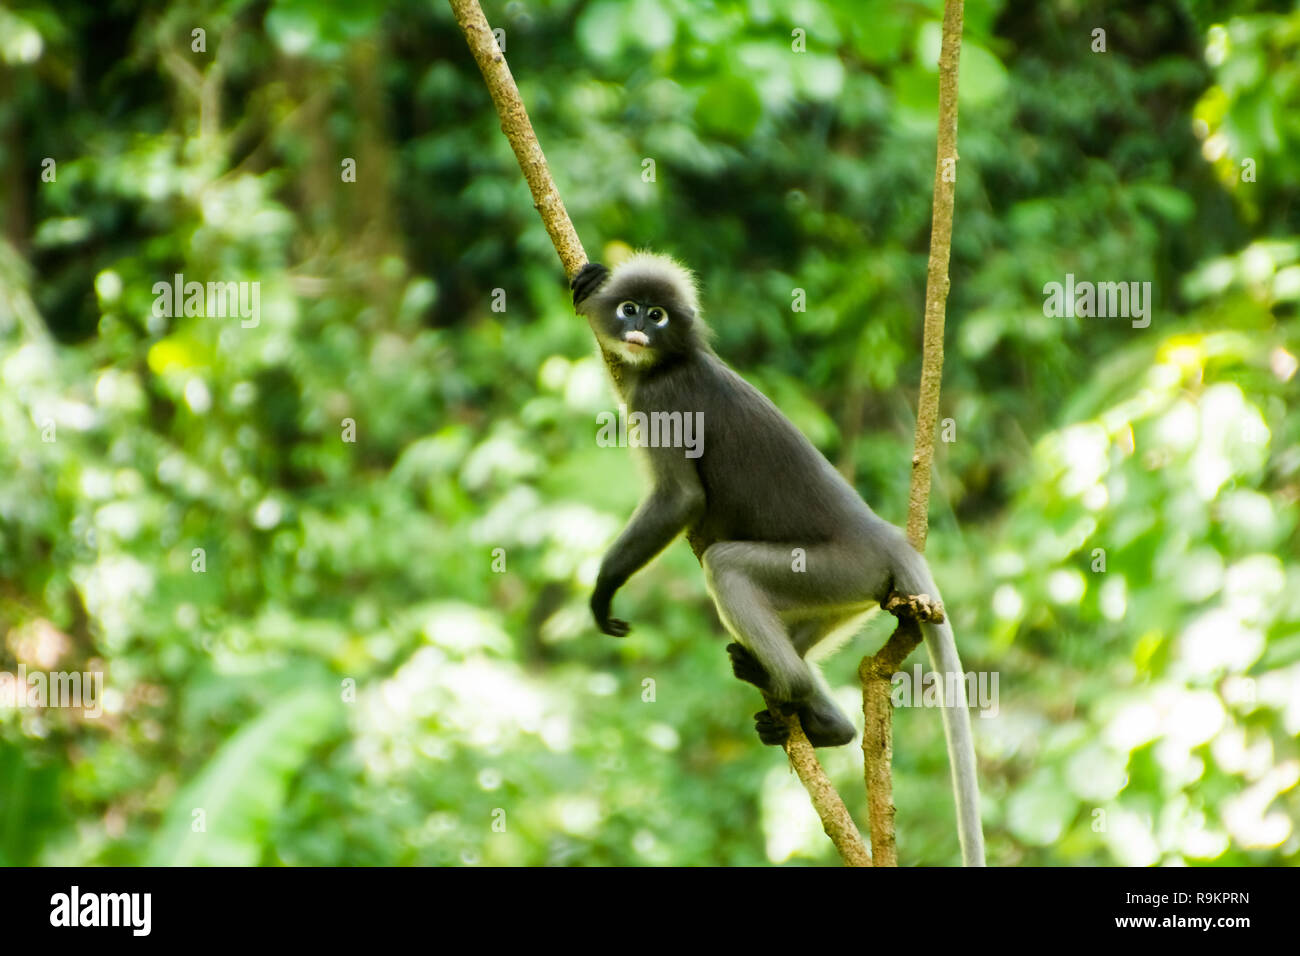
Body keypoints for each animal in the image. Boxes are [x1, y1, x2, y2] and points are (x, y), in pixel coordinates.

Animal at [572, 252, 985, 866]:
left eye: (657, 314)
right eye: (629, 308)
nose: (638, 326)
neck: (682, 357)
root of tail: (885, 536)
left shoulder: (660, 399)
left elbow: (681, 499)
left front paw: (603, 590)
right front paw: (590, 279)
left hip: (828, 567)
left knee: (725, 565)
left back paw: (787, 686)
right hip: (851, 592)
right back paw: (828, 723)